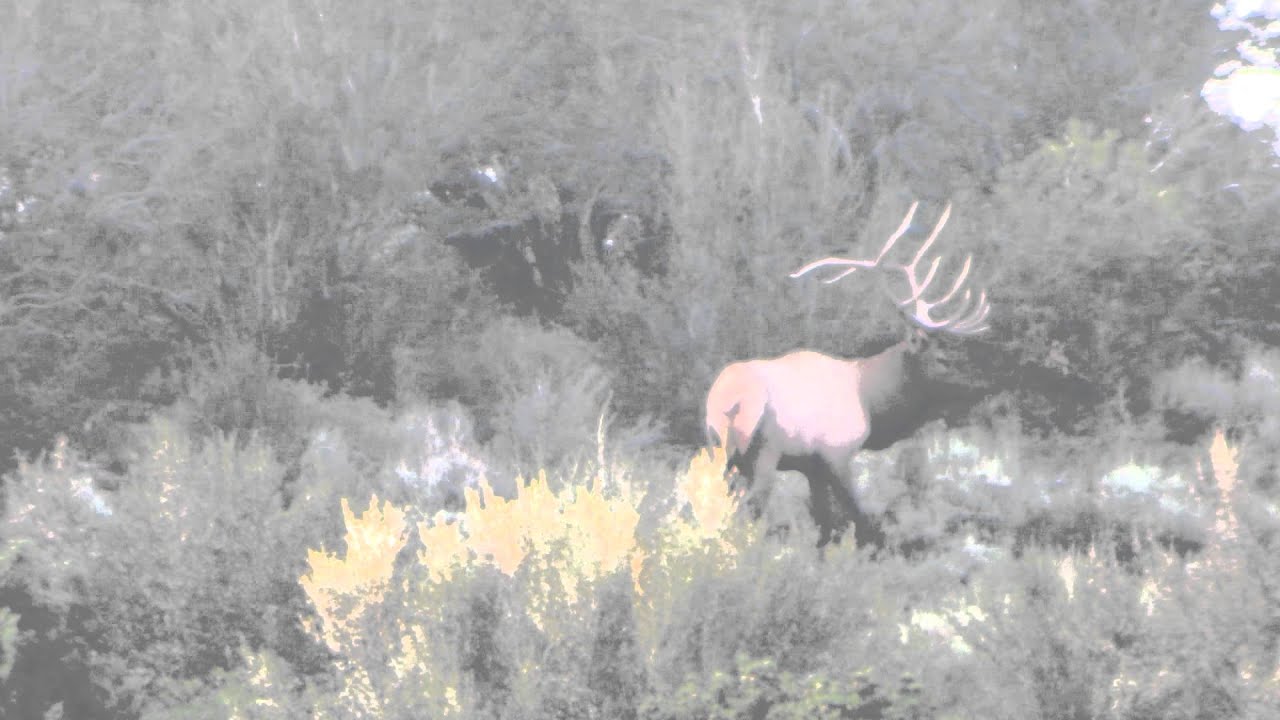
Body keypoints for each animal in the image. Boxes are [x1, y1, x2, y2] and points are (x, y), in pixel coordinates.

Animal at [704, 201, 990, 548]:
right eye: (943, 358)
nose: (981, 385)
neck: (870, 400)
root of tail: (728, 399)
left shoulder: (811, 466)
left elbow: (824, 526)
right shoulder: (836, 454)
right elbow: (861, 520)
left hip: (717, 448)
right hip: (762, 451)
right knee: (751, 508)